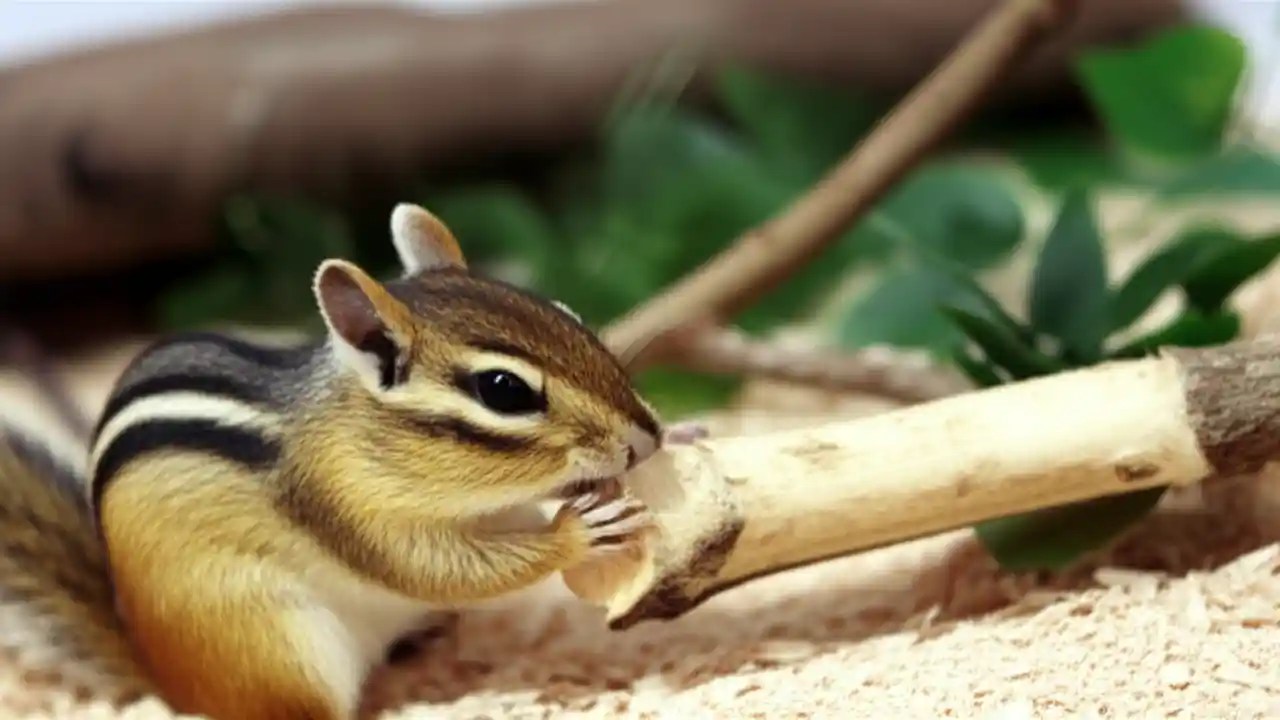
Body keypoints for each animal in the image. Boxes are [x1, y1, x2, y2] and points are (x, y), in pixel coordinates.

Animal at [0, 203, 668, 720]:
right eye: (504, 390)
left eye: (568, 315)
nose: (648, 436)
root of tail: (167, 677)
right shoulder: (341, 503)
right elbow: (439, 569)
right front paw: (578, 531)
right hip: (280, 646)